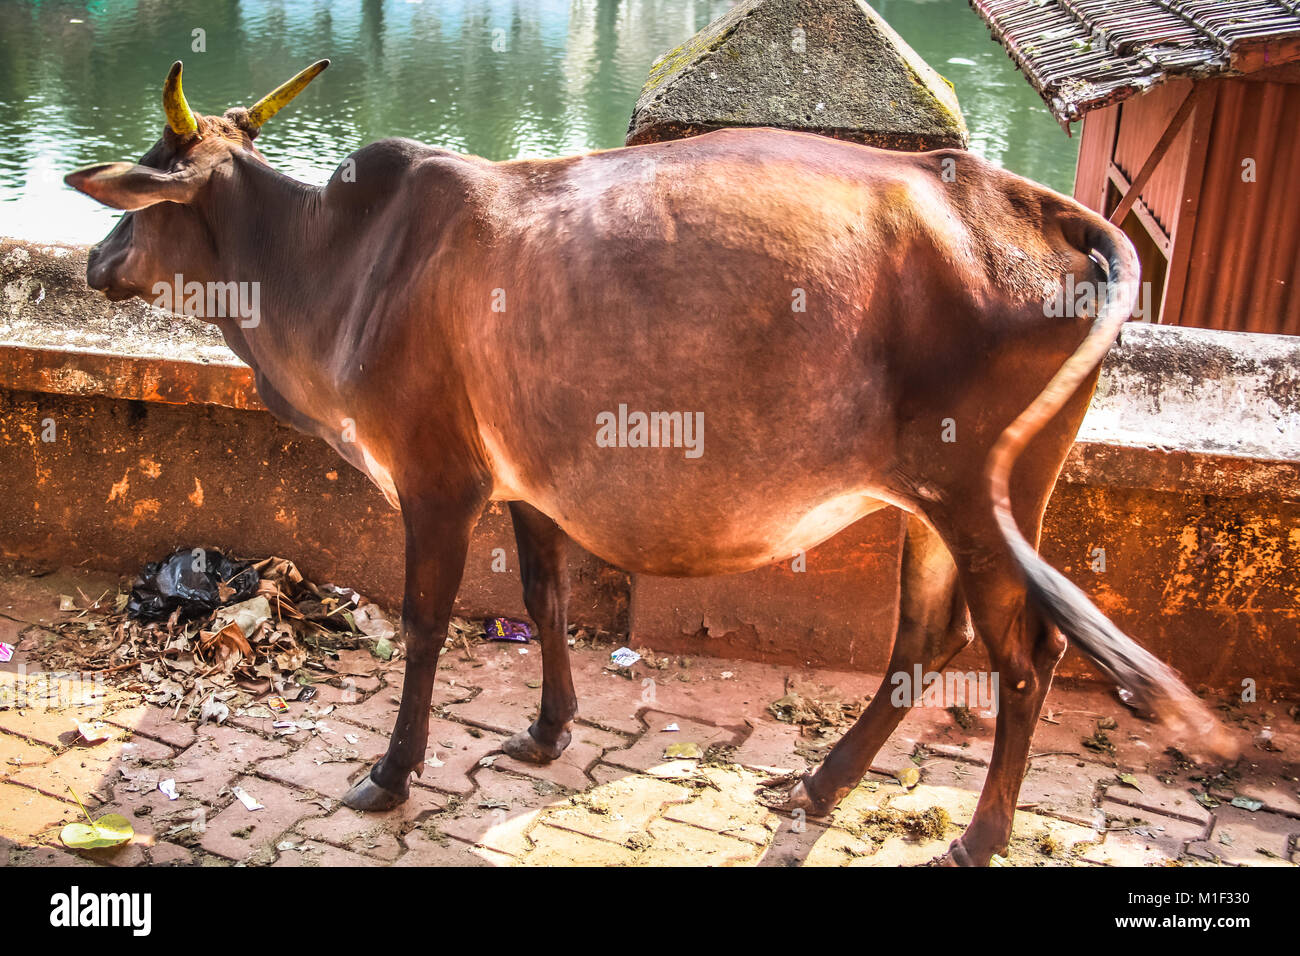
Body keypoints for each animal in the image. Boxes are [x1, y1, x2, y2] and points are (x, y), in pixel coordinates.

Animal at [65, 61, 1232, 866]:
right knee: (922, 637)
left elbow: (428, 622)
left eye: (141, 193)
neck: (338, 267)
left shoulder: (435, 478)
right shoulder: (523, 478)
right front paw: (547, 730)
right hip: (944, 497)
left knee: (1027, 658)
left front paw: (391, 772)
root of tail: (1032, 204)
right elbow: (541, 591)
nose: (91, 261)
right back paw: (821, 784)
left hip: (983, 498)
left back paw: (977, 836)